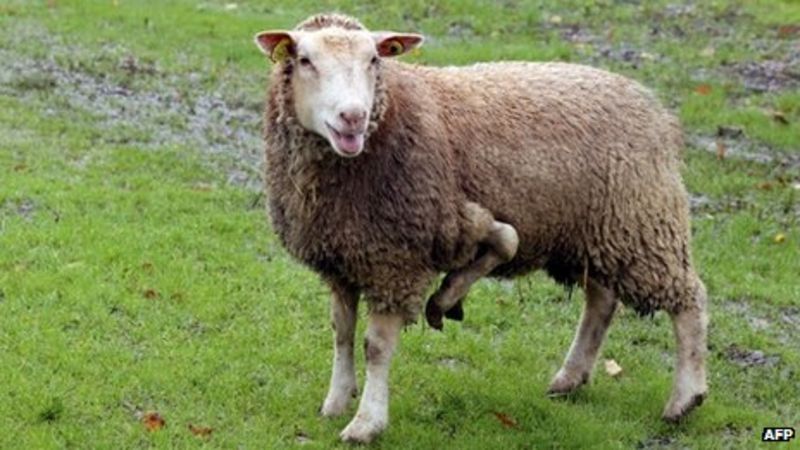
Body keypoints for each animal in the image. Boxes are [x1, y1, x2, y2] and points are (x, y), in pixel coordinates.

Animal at [254, 13, 708, 443]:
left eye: (373, 60)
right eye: (305, 61)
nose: (353, 117)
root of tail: (656, 109)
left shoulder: (399, 256)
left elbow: (376, 346)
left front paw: (367, 422)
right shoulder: (344, 257)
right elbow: (342, 332)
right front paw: (336, 400)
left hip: (644, 221)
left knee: (689, 298)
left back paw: (685, 397)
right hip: (598, 232)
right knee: (601, 300)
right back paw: (570, 378)